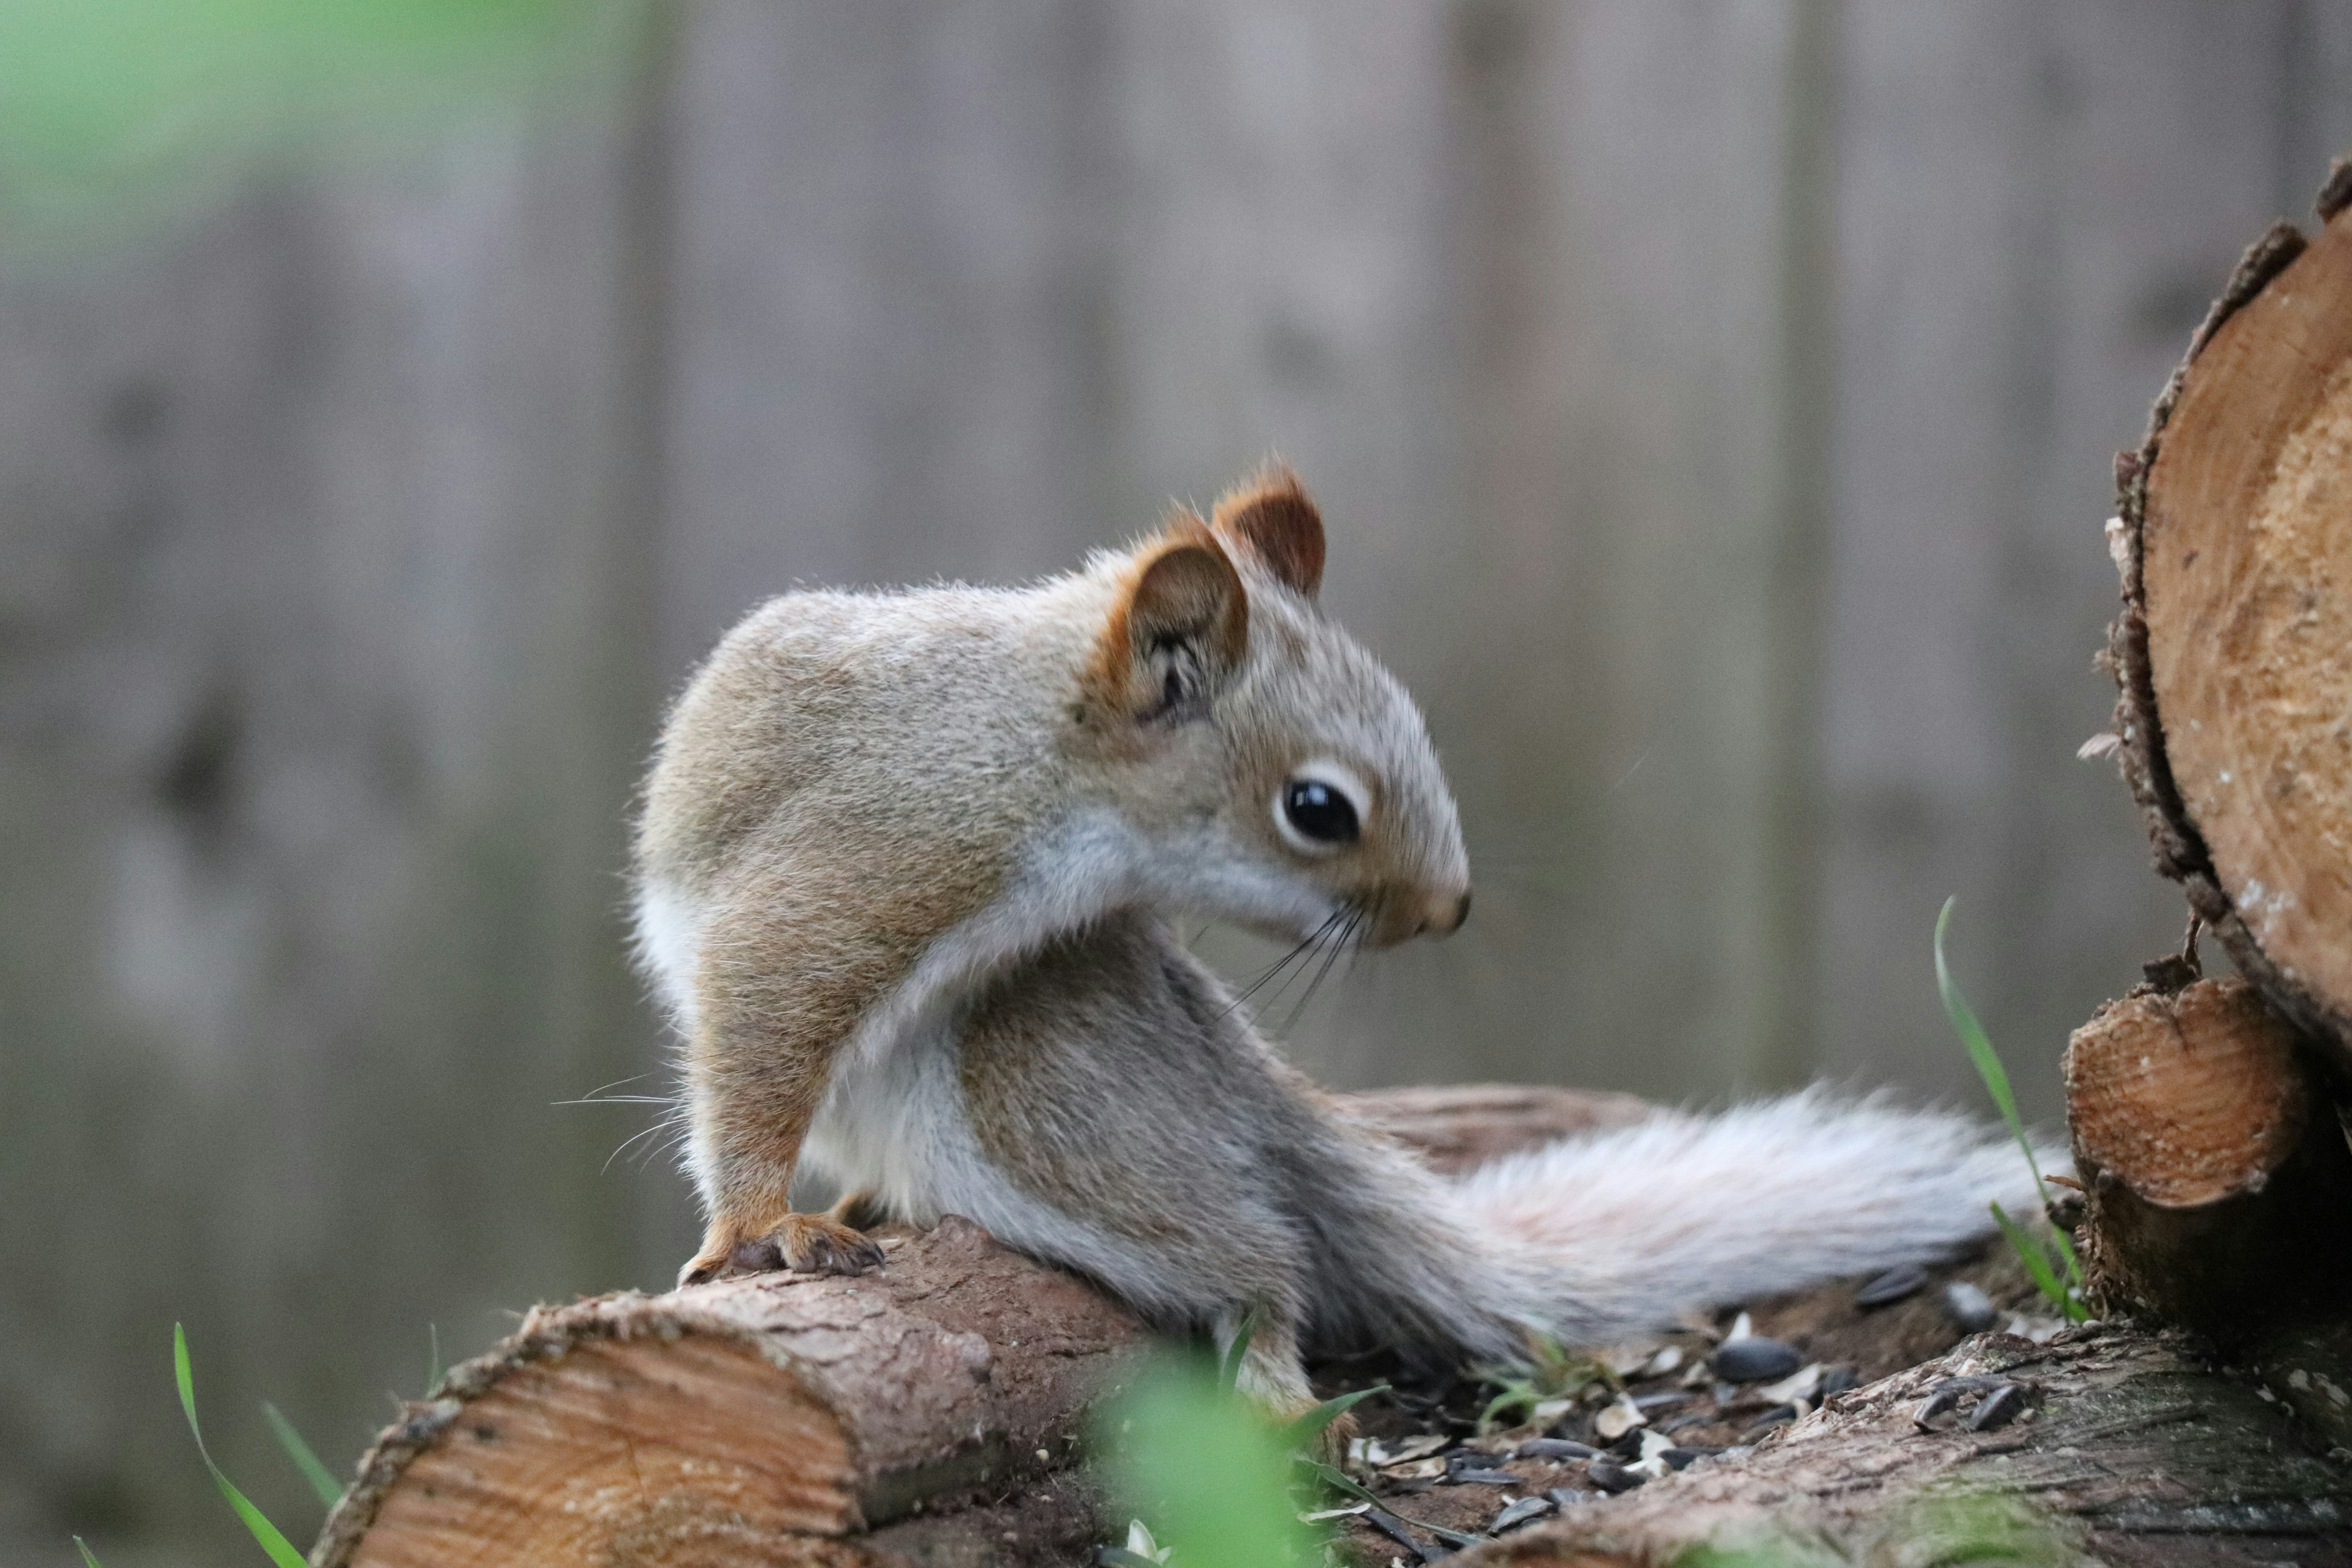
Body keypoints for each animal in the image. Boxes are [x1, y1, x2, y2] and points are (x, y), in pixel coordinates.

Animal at [631, 466, 2047, 1420]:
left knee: (1263, 1261)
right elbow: (763, 1022)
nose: (1446, 910)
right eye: (1319, 809)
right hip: (1026, 1097)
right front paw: (757, 1226)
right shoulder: (878, 859)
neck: (1049, 762)